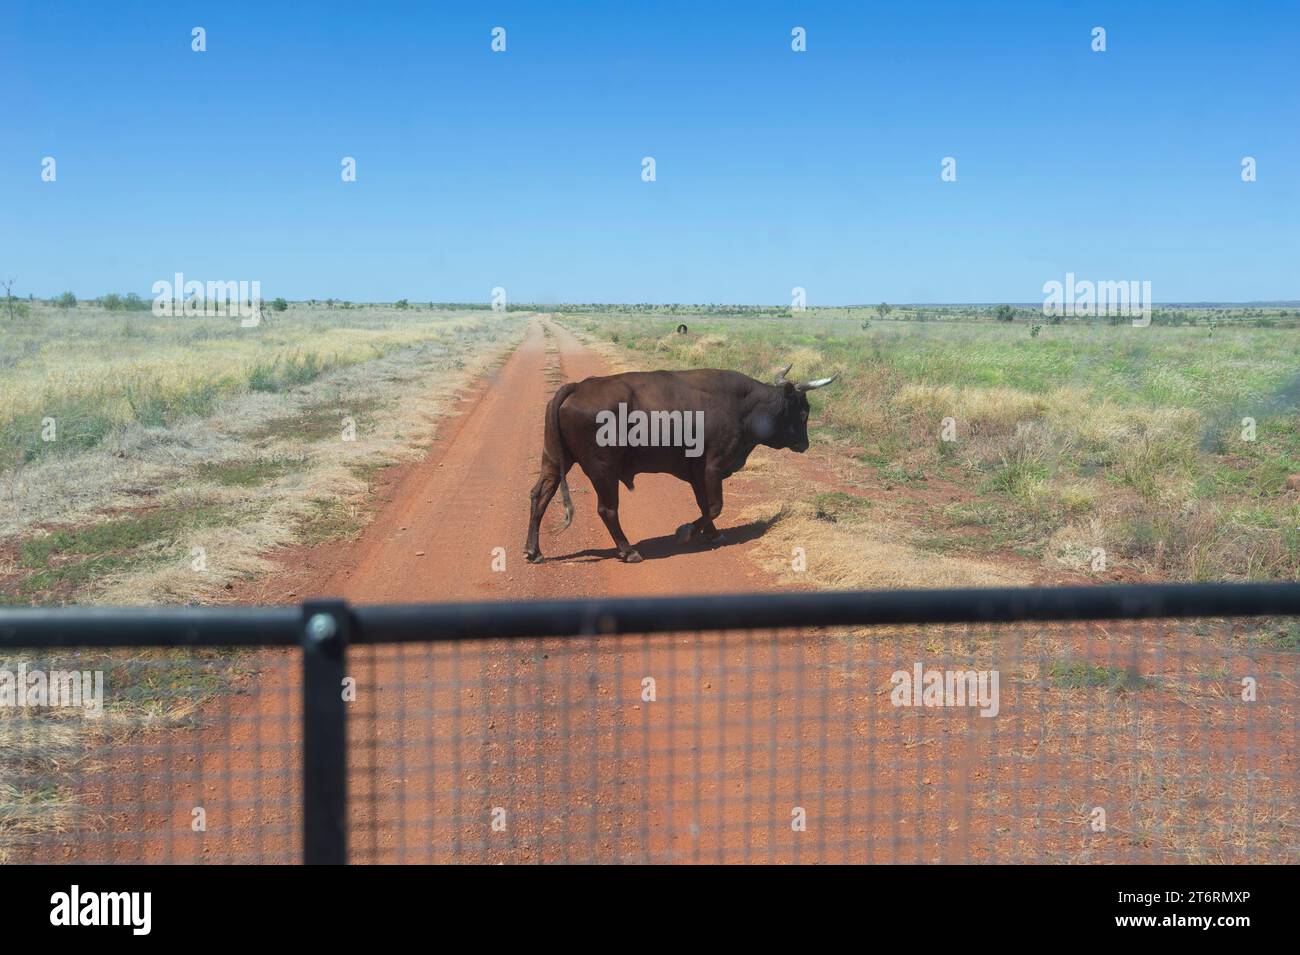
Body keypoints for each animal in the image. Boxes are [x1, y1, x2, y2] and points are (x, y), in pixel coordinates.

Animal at [524, 364, 838, 563]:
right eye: (803, 411)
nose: (805, 444)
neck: (743, 405)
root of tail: (578, 386)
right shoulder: (712, 467)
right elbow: (714, 505)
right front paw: (686, 531)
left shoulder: (697, 472)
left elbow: (705, 505)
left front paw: (712, 534)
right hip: (604, 471)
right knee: (607, 510)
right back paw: (628, 551)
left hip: (554, 461)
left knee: (540, 496)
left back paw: (533, 551)